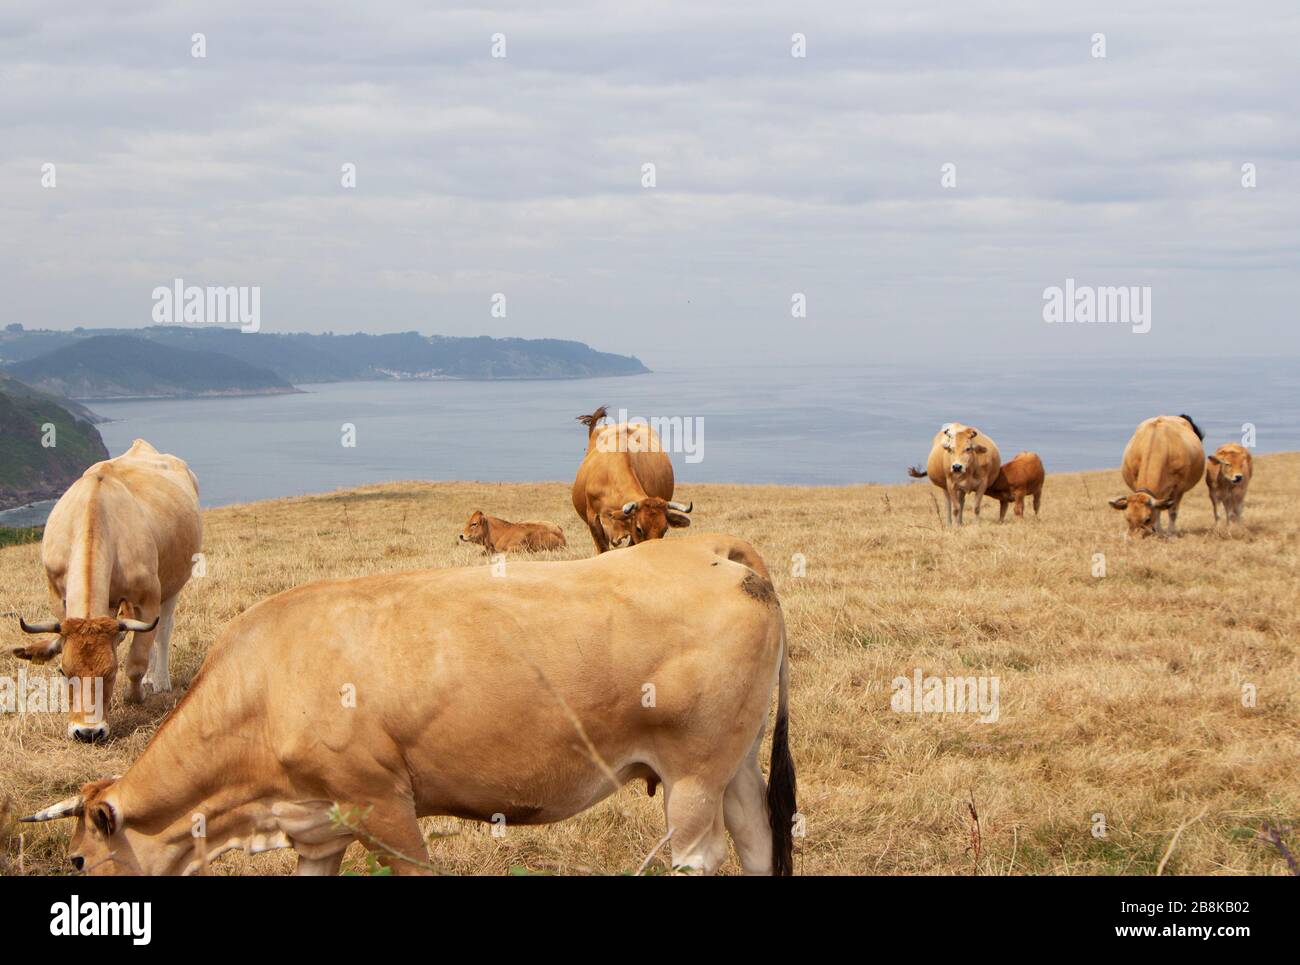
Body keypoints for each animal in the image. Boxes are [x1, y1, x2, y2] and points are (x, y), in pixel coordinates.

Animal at [12, 439, 202, 742]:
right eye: (63, 671)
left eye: (112, 672)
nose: (87, 732)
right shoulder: (57, 595)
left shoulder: (149, 597)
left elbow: (137, 660)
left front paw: (135, 695)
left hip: (174, 583)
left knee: (162, 630)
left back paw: (159, 679)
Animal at [21, 534, 797, 877]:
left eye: (78, 862)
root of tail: (711, 549)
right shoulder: (317, 828)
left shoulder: (383, 806)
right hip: (732, 767)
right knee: (758, 843)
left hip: (693, 774)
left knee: (702, 855)